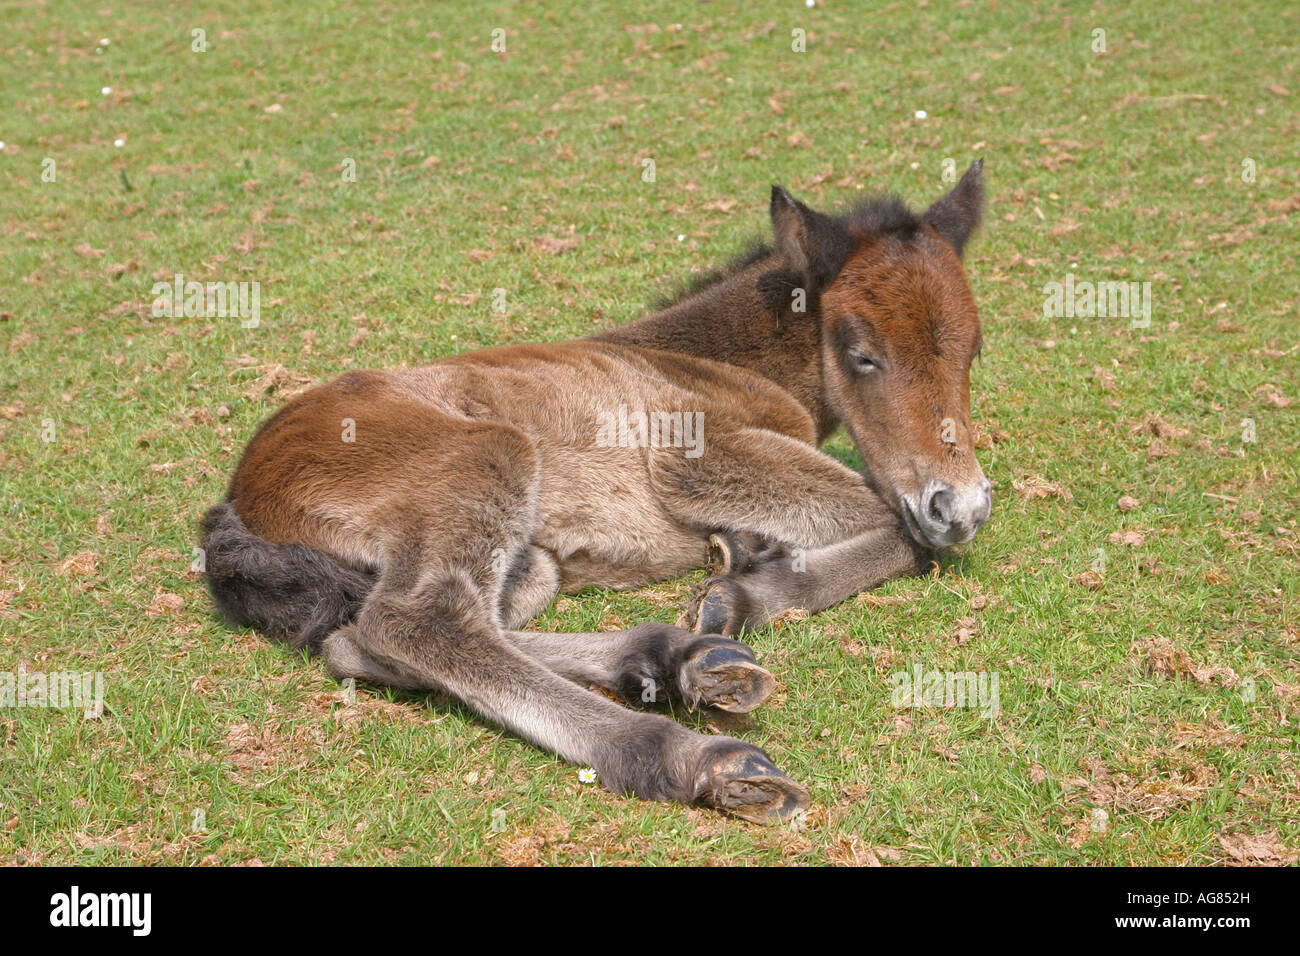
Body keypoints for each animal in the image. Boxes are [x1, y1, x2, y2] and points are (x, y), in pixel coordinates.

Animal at [200, 161, 990, 823]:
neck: (716, 357)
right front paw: (743, 594)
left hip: (526, 562)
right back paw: (690, 754)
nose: (962, 506)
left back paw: (678, 663)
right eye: (862, 355)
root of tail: (241, 496)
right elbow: (901, 530)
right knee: (416, 622)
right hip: (489, 457)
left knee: (362, 639)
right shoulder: (696, 455)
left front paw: (739, 568)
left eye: (974, 349)